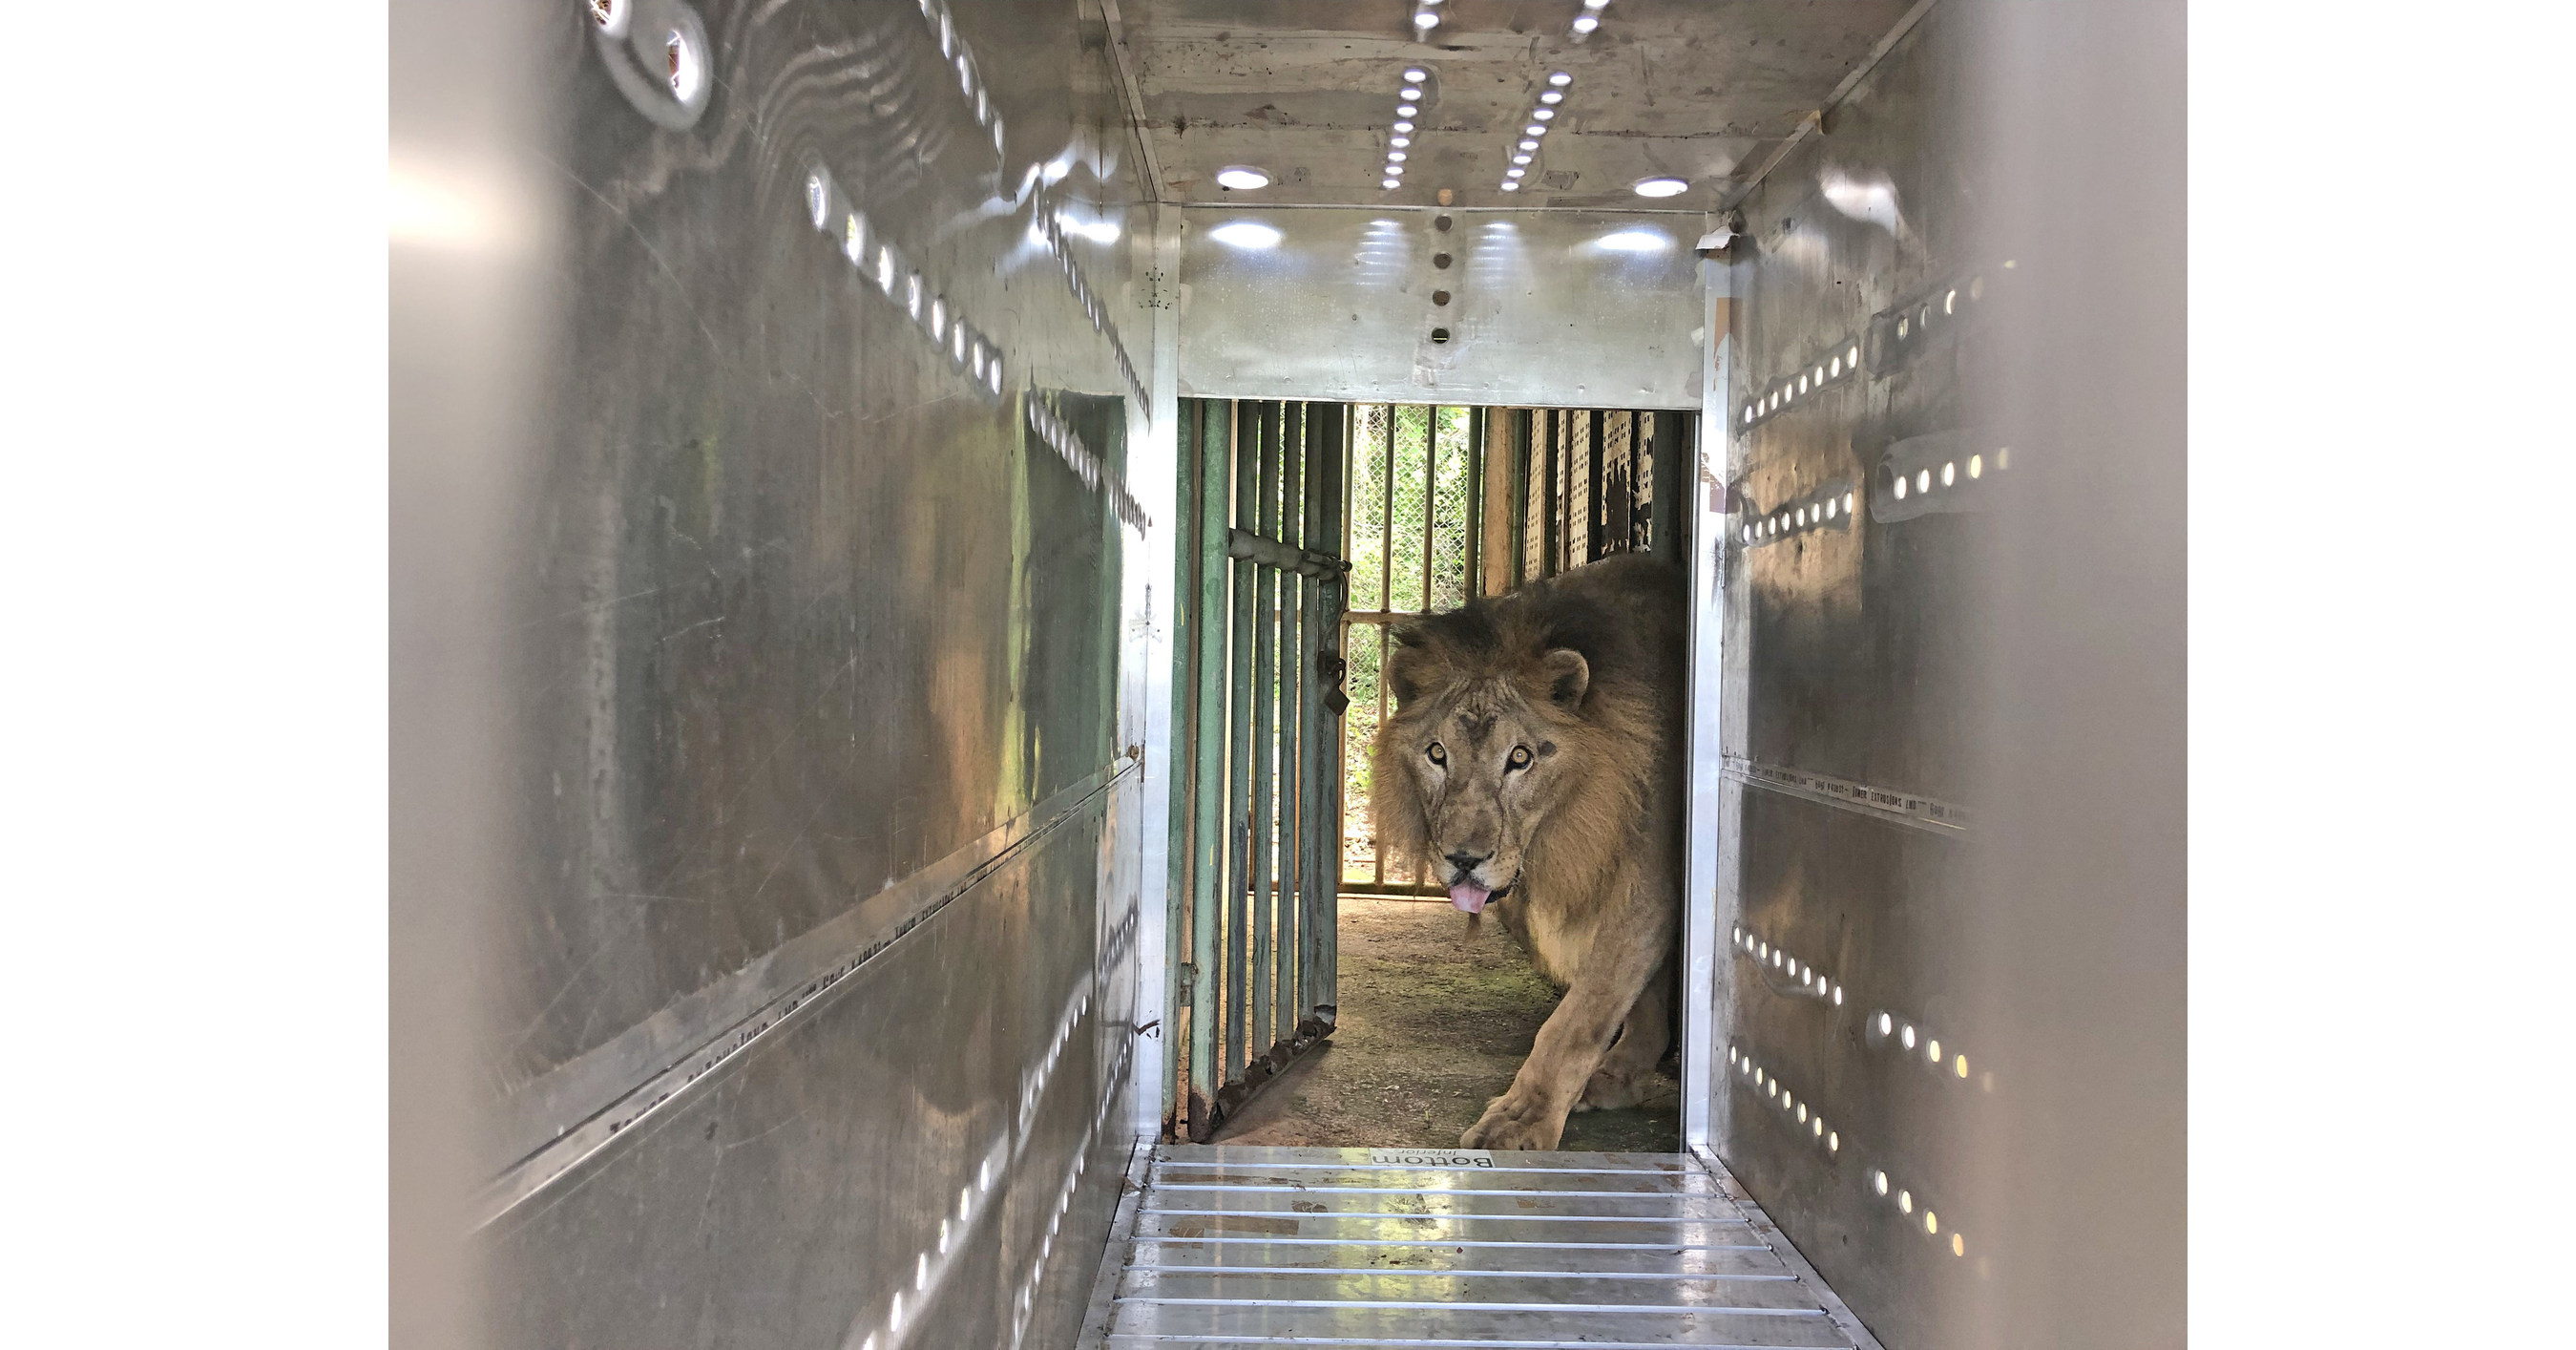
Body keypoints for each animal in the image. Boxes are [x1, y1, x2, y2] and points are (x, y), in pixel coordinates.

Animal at [1369, 553, 1685, 1150]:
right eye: (1437, 754)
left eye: (1520, 758)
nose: (1464, 860)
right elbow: (1645, 996)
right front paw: (1620, 1078)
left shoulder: (1651, 882)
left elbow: (1582, 1014)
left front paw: (1523, 1120)